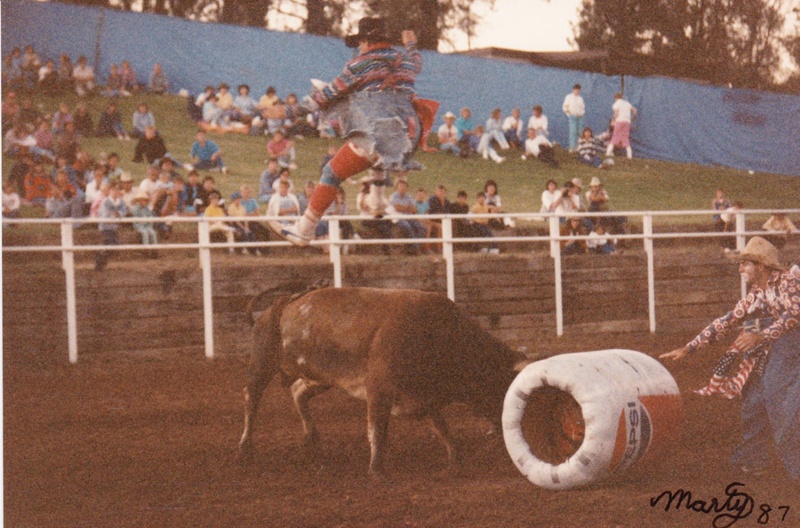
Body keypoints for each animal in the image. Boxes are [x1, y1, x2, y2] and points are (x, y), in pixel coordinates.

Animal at [238, 284, 528, 475]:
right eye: (504, 390)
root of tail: (285, 301)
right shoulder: (379, 390)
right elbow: (377, 430)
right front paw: (376, 470)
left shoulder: (424, 396)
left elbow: (442, 428)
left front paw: (456, 459)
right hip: (262, 362)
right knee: (251, 399)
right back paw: (245, 448)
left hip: (319, 376)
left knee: (298, 391)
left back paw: (311, 436)